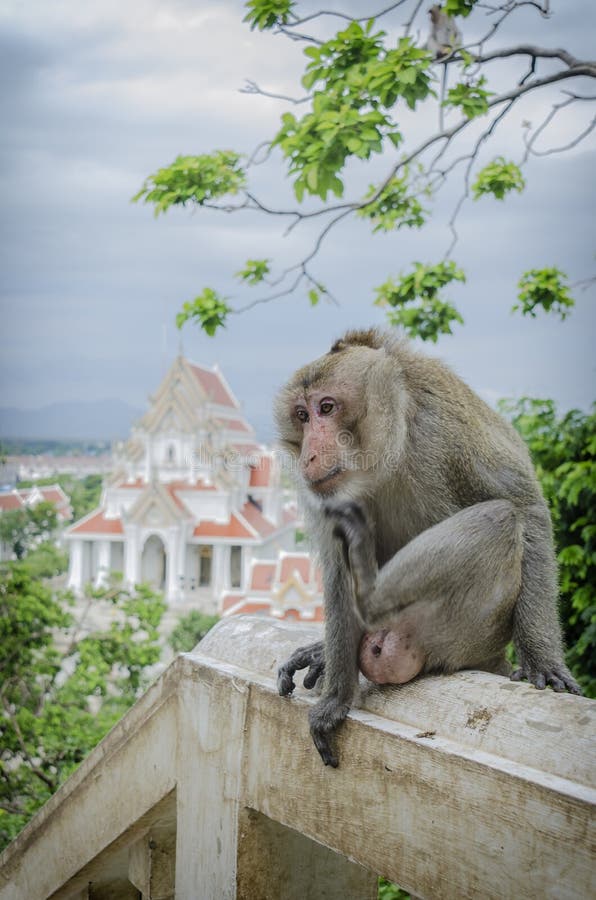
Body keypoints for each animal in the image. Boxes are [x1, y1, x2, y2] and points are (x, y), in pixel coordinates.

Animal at [275, 328, 581, 767]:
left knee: (501, 516)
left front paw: (543, 660)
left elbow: (526, 506)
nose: (309, 454)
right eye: (302, 416)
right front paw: (336, 698)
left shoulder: (440, 423)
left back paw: (369, 597)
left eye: (326, 407)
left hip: (464, 633)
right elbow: (333, 566)